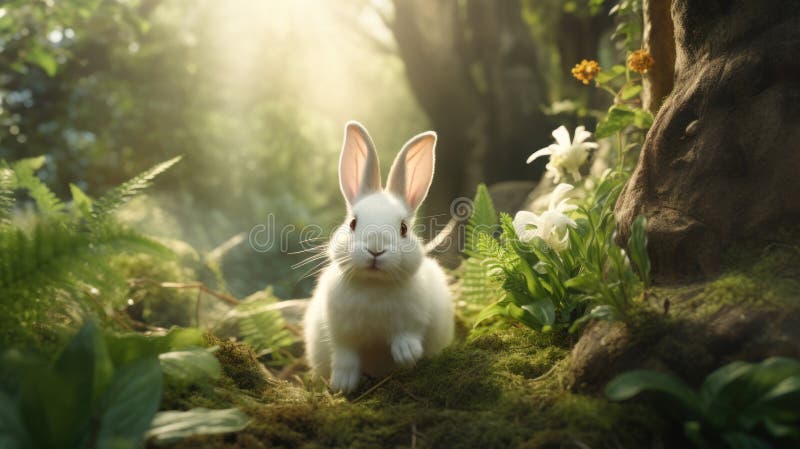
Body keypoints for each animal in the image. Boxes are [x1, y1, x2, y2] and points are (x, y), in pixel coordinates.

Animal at [303, 121, 455, 393]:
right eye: (353, 223)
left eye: (403, 228)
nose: (375, 249)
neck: (374, 285)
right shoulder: (342, 333)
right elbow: (346, 356)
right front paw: (342, 385)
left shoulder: (412, 320)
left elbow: (408, 335)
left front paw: (407, 354)